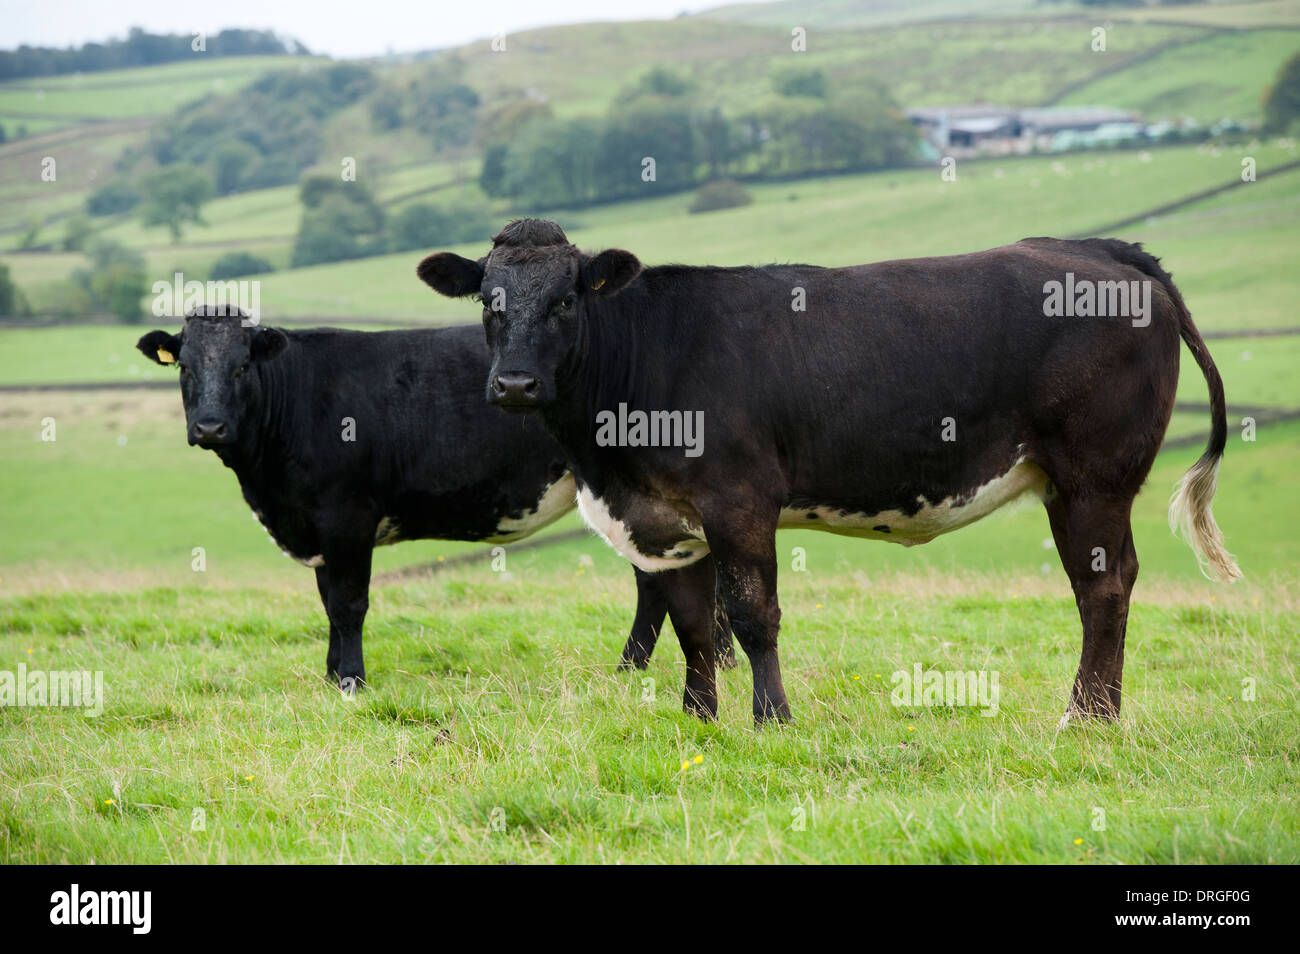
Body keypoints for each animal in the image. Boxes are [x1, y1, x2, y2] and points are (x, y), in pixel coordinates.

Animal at [137, 305, 731, 695]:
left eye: (242, 366)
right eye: (185, 367)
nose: (209, 427)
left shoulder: (346, 515)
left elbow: (349, 604)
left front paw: (352, 680)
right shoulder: (317, 524)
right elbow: (328, 603)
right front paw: (331, 675)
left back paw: (642, 667)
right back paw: (649, 667)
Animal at [417, 219, 1240, 725]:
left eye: (564, 300)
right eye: (488, 301)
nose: (515, 384)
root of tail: (1101, 250)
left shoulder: (739, 499)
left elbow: (751, 615)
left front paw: (771, 719)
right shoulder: (666, 520)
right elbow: (692, 624)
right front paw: (699, 720)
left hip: (1093, 477)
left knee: (1103, 587)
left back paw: (1084, 718)